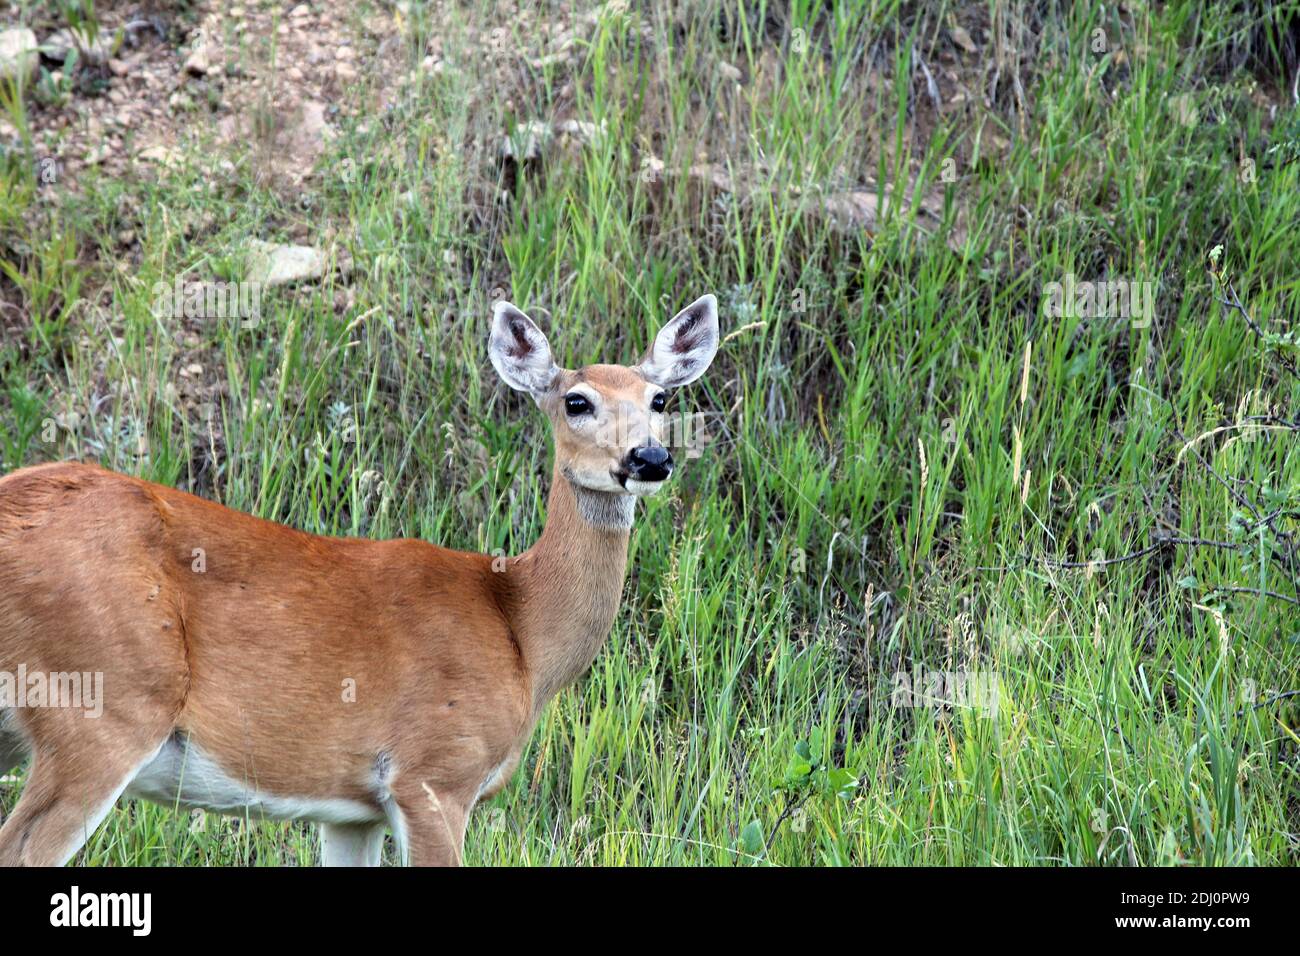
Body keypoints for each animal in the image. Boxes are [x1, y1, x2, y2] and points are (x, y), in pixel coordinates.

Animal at [0, 293, 719, 866]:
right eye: (576, 401)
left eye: (659, 399)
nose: (649, 457)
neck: (519, 627)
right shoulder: (434, 773)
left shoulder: (351, 811)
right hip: (101, 706)